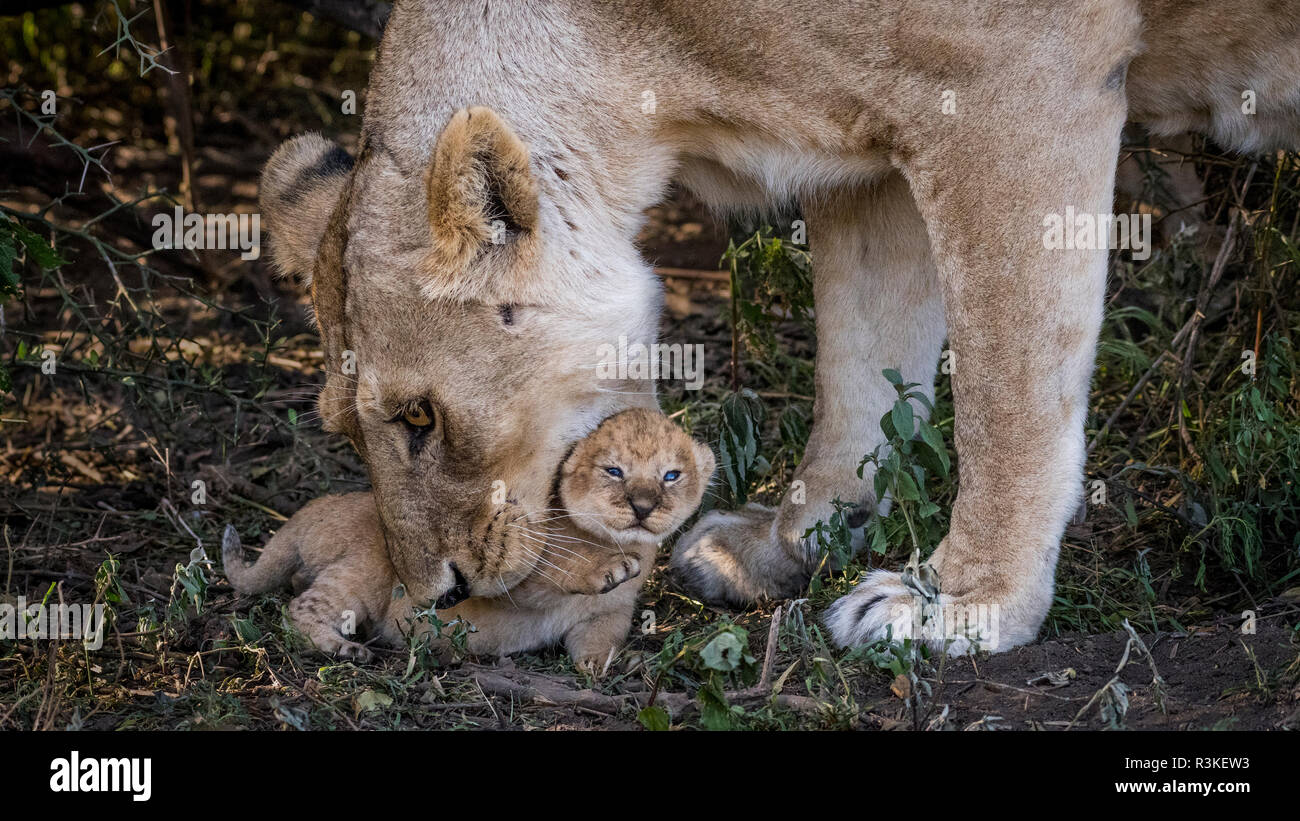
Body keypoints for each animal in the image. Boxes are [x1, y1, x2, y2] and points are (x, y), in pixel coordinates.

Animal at [222, 408, 715, 674]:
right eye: (614, 470)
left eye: (671, 476)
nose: (644, 507)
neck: (611, 538)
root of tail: (307, 513)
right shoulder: (509, 575)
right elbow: (556, 569)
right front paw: (605, 568)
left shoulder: (603, 617)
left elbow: (597, 644)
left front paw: (615, 665)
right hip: (358, 575)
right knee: (299, 609)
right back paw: (342, 647)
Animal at [259, 0, 1300, 655]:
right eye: (345, 429)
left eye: (421, 417)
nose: (435, 591)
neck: (655, 54)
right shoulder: (870, 142)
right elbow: (860, 369)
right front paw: (784, 547)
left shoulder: (1022, 83)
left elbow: (1008, 383)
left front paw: (965, 604)